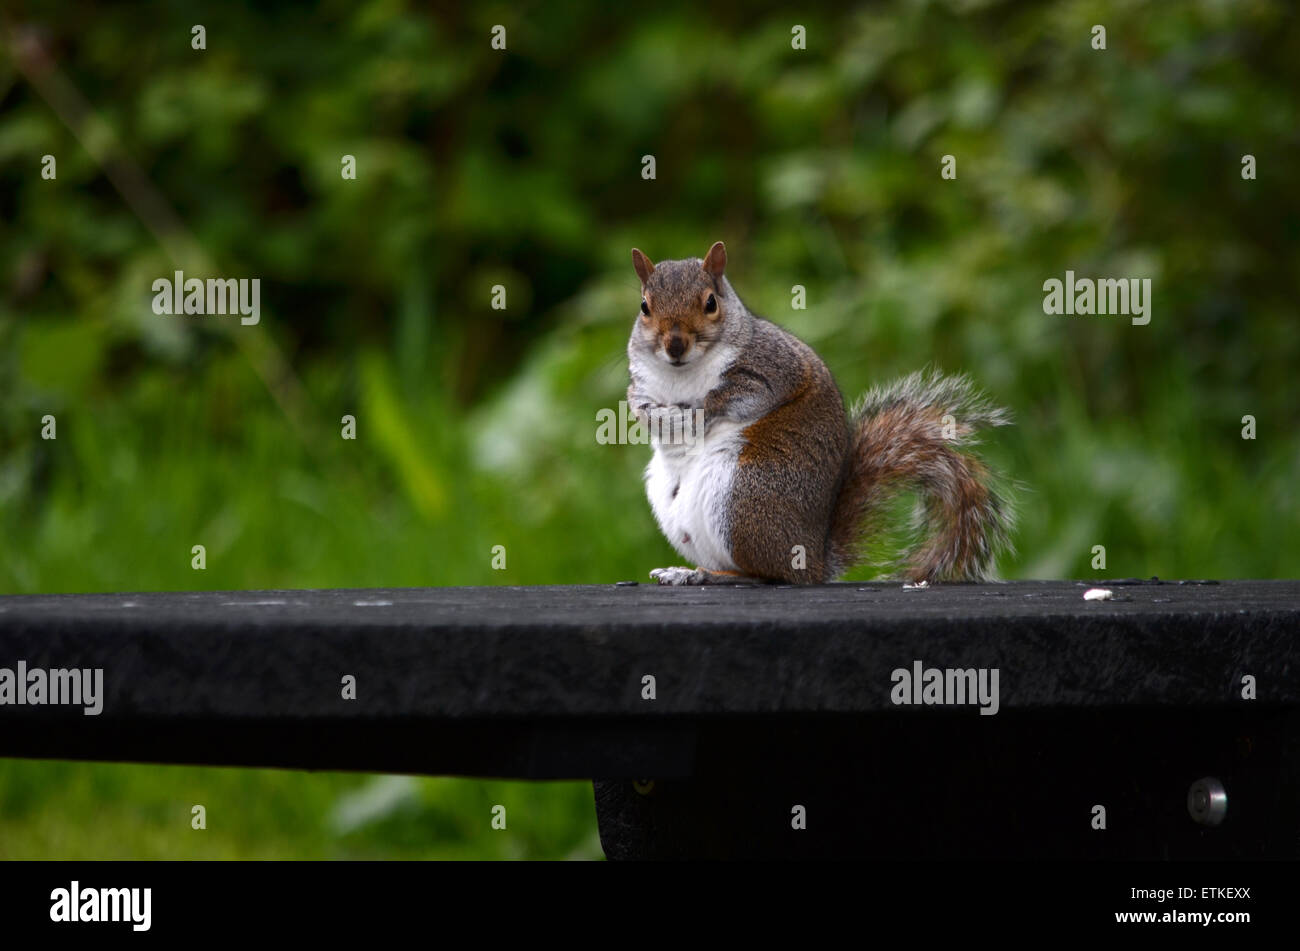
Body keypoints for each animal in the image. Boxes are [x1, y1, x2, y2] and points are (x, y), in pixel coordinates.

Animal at [626, 240, 1014, 586]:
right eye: (644, 306)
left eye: (710, 303)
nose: (675, 345)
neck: (682, 374)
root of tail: (814, 559)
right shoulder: (640, 384)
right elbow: (639, 408)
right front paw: (661, 419)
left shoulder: (774, 368)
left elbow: (738, 395)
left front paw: (696, 412)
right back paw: (687, 572)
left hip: (742, 496)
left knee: (767, 574)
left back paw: (710, 575)